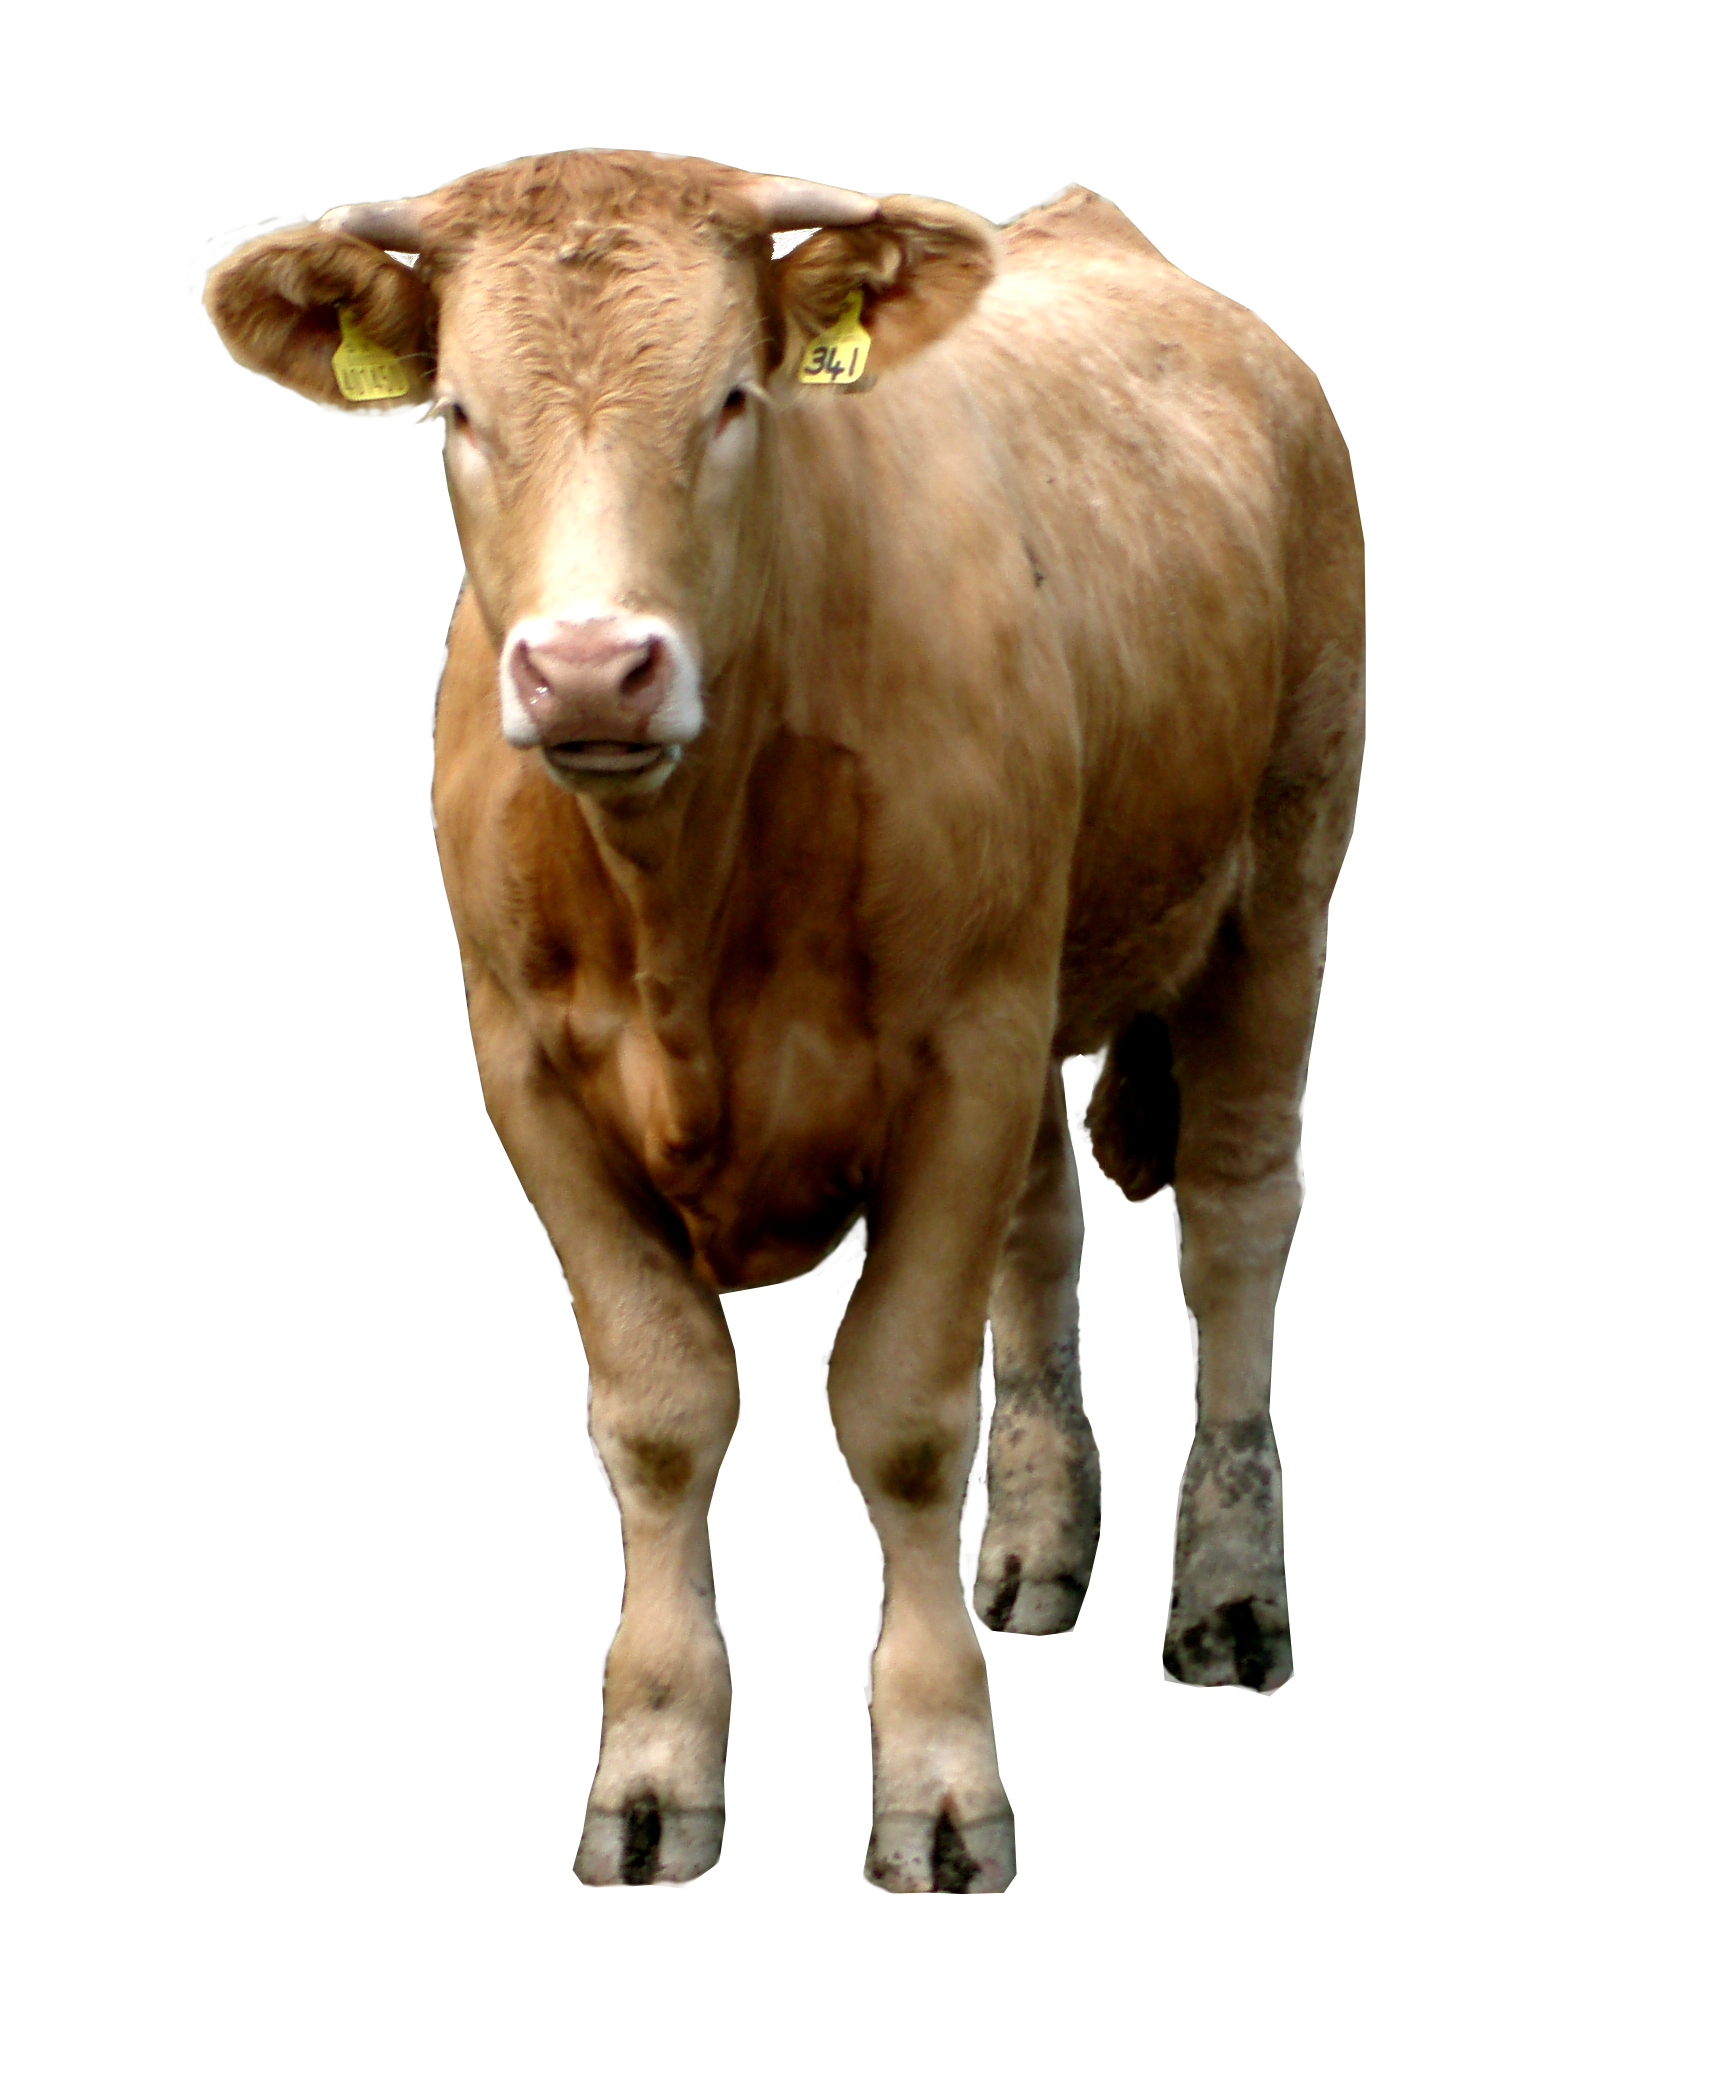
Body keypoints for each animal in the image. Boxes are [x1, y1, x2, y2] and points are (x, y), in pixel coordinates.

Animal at [200, 148, 1365, 1893]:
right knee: (1043, 1237)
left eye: (734, 398)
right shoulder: (528, 1072)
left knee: (1233, 1220)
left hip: (1280, 870)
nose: (590, 669)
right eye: (462, 413)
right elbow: (660, 1417)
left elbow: (899, 1416)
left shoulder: (959, 1050)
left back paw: (1225, 1595)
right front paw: (651, 1774)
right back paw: (1033, 1547)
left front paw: (941, 1785)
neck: (681, 892)